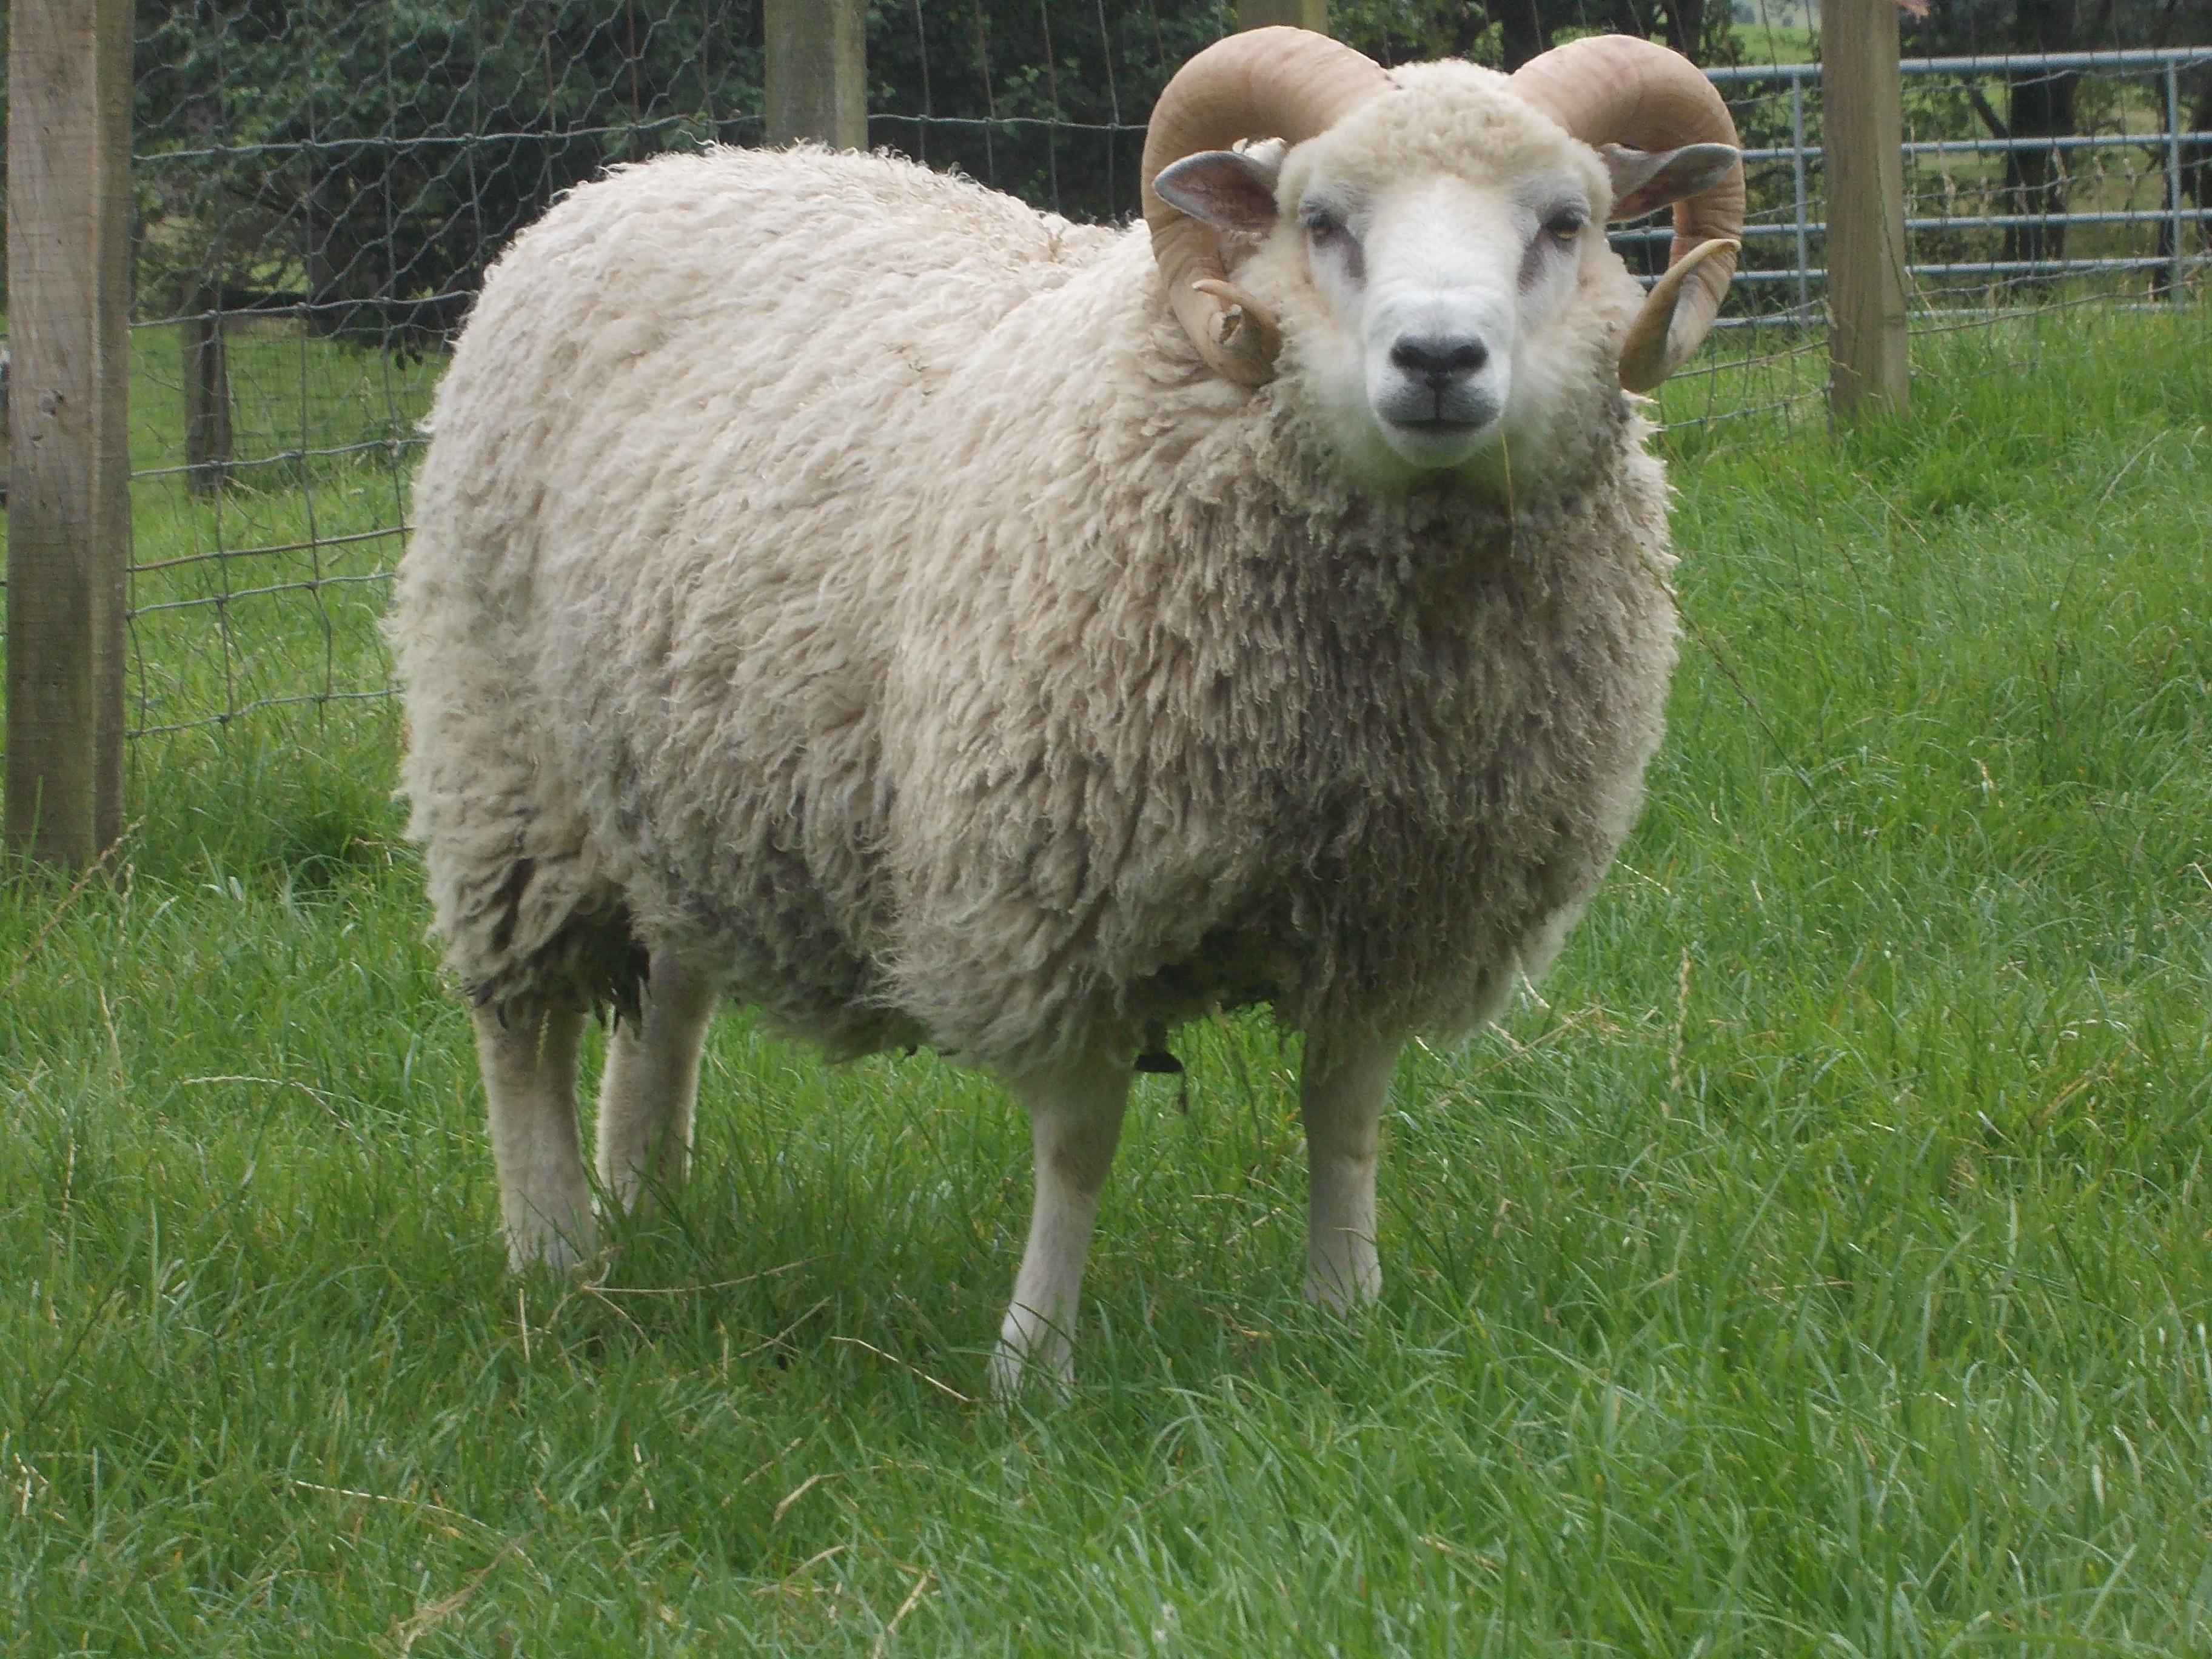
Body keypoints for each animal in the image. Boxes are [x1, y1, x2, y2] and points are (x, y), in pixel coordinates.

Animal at [392, 28, 1744, 1392]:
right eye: (1319, 220)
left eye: (1567, 223)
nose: (1437, 362)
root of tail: (637, 176)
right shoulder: (1060, 899)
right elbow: (1079, 1148)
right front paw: (1030, 1367)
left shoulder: (1391, 908)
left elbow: (1347, 1118)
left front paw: (1343, 1317)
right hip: (503, 758)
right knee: (522, 1028)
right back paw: (557, 1258)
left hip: (674, 769)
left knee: (666, 1000)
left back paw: (653, 1209)